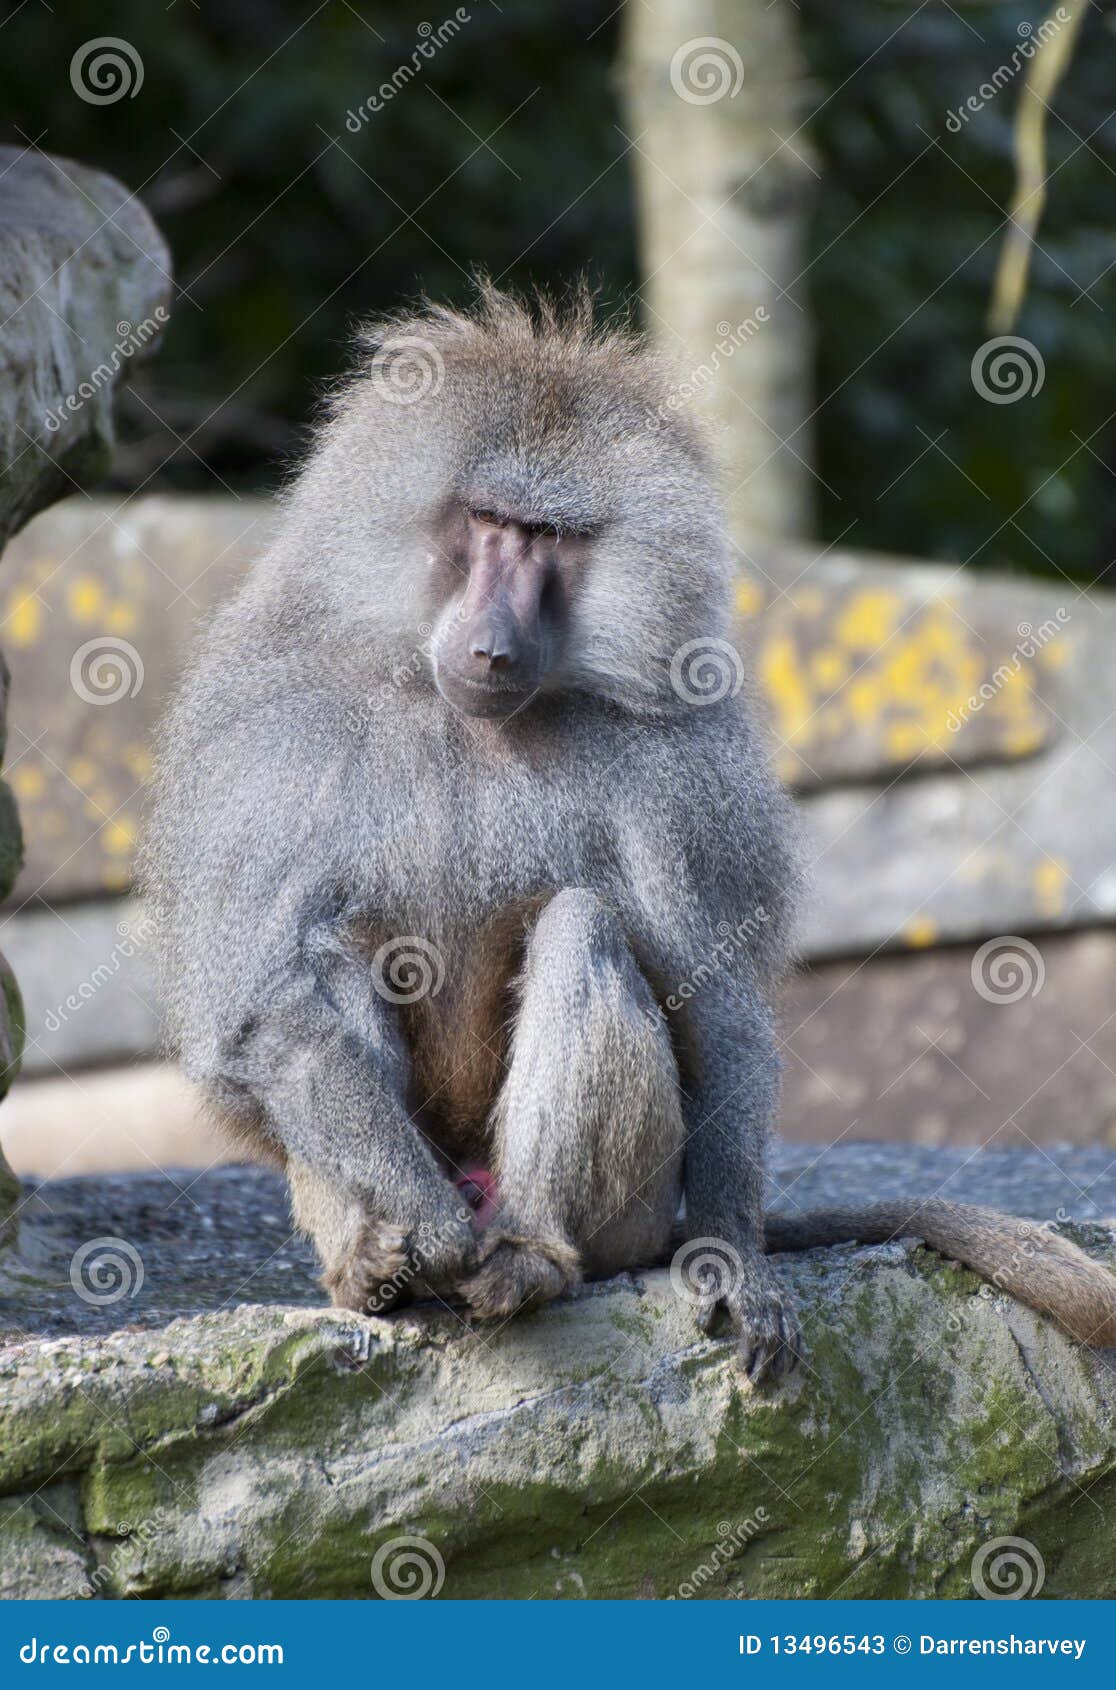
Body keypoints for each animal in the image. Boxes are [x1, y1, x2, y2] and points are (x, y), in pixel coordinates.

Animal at [143, 283, 1116, 1386]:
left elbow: (716, 1002)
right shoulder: (270, 729)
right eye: (485, 523)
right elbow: (264, 1004)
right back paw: (378, 1266)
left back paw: (532, 1257)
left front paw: (736, 1256)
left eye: (549, 538)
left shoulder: (684, 765)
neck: (475, 719)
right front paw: (420, 1231)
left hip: (636, 1211)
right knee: (331, 958)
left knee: (582, 931)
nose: (492, 646)